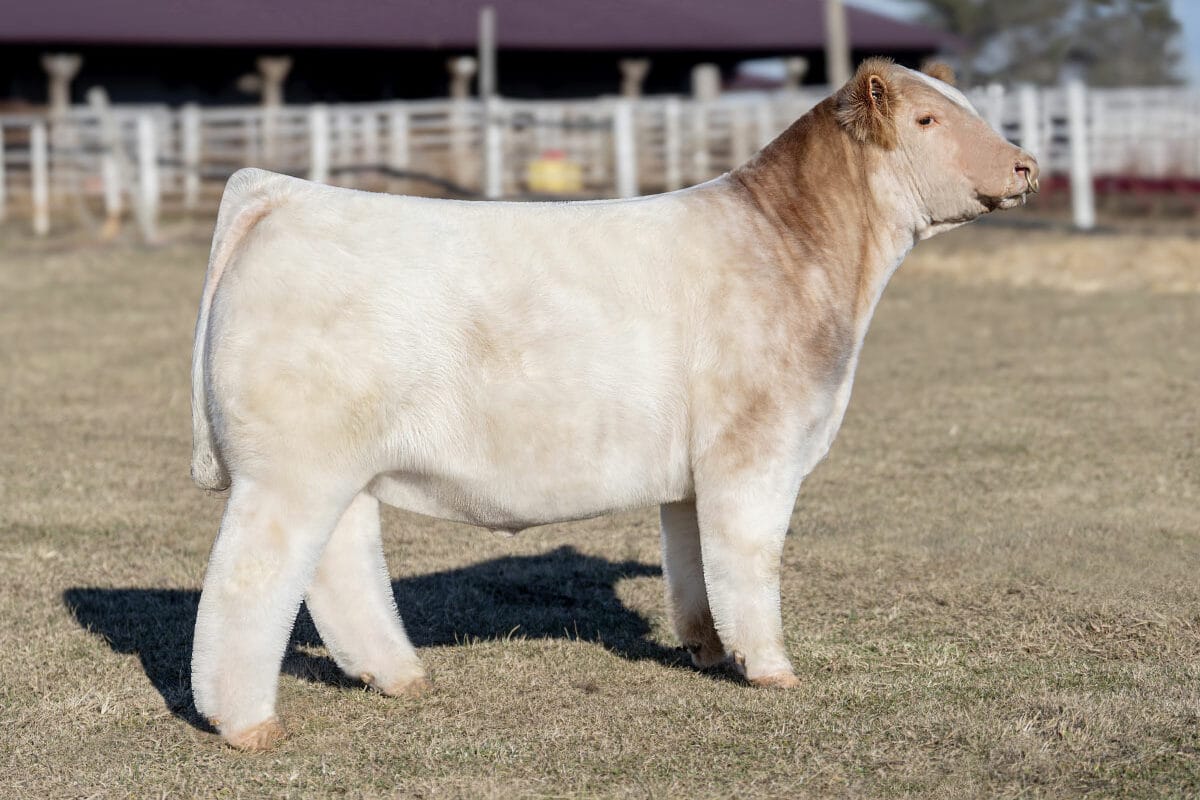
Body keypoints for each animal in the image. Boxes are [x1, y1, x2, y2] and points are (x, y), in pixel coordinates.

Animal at [188, 58, 1039, 750]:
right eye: (927, 120)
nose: (1026, 165)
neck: (805, 257)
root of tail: (284, 193)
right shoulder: (756, 452)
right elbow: (750, 563)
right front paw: (771, 669)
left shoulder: (696, 473)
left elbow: (695, 564)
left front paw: (706, 651)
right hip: (289, 471)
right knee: (249, 580)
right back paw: (248, 725)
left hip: (342, 469)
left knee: (339, 566)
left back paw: (398, 677)